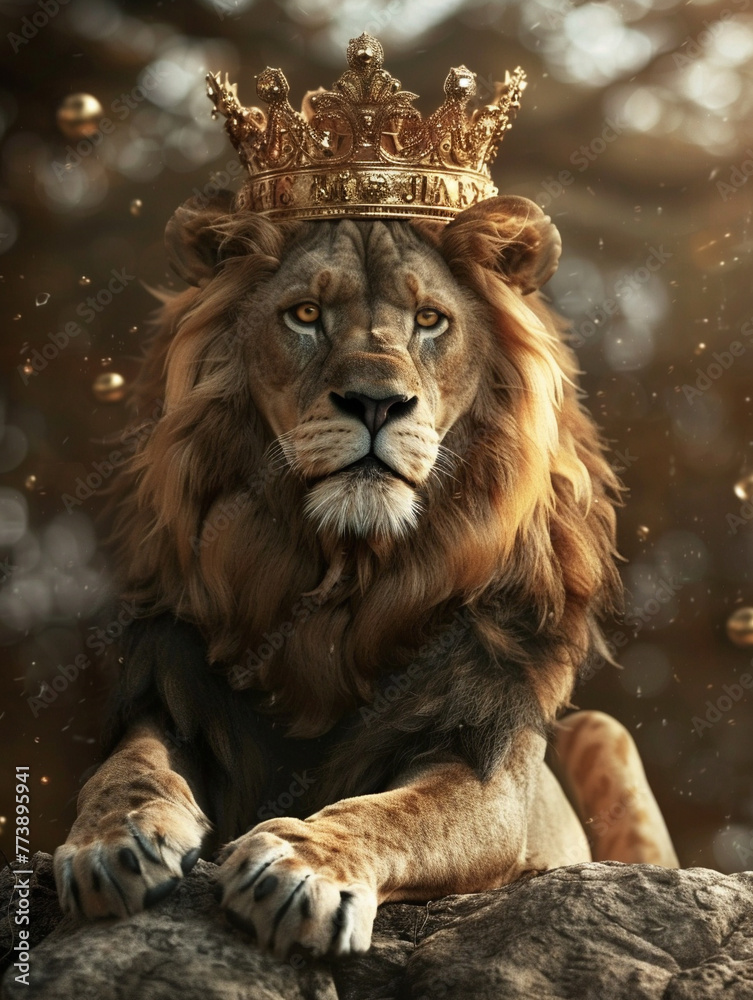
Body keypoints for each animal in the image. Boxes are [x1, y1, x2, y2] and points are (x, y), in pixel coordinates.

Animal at [53, 190, 677, 959]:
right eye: (305, 314)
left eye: (430, 321)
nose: (376, 402)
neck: (341, 585)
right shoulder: (174, 690)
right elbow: (131, 765)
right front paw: (114, 840)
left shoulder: (490, 771)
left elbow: (395, 815)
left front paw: (301, 867)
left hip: (602, 729)